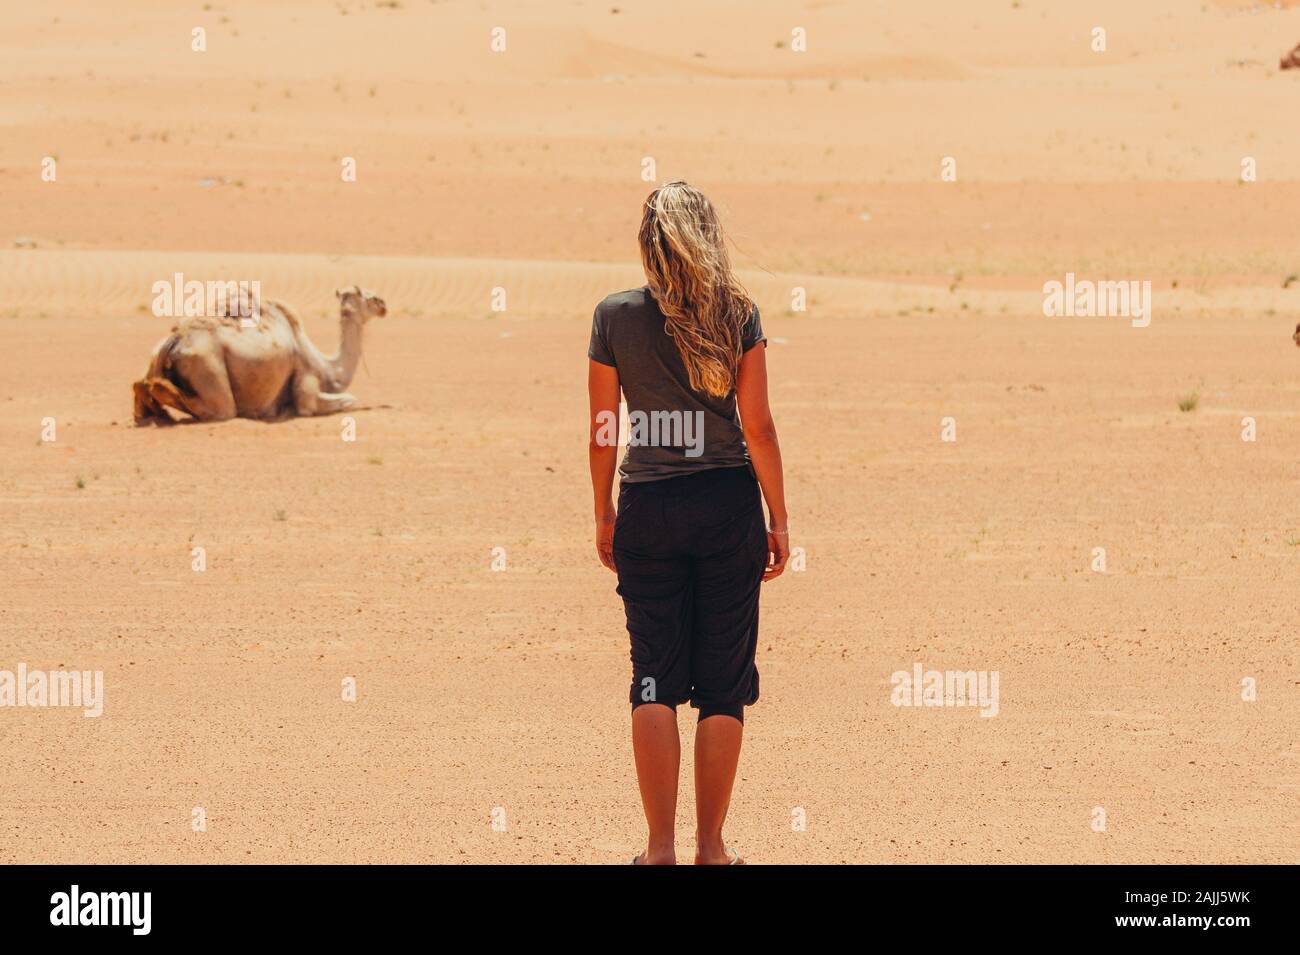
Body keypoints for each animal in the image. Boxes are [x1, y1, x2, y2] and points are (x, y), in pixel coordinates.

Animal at [133, 286, 386, 425]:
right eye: (369, 297)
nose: (383, 303)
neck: (327, 367)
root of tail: (174, 339)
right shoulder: (306, 383)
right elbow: (349, 400)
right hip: (207, 364)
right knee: (222, 409)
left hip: (154, 356)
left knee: (140, 387)